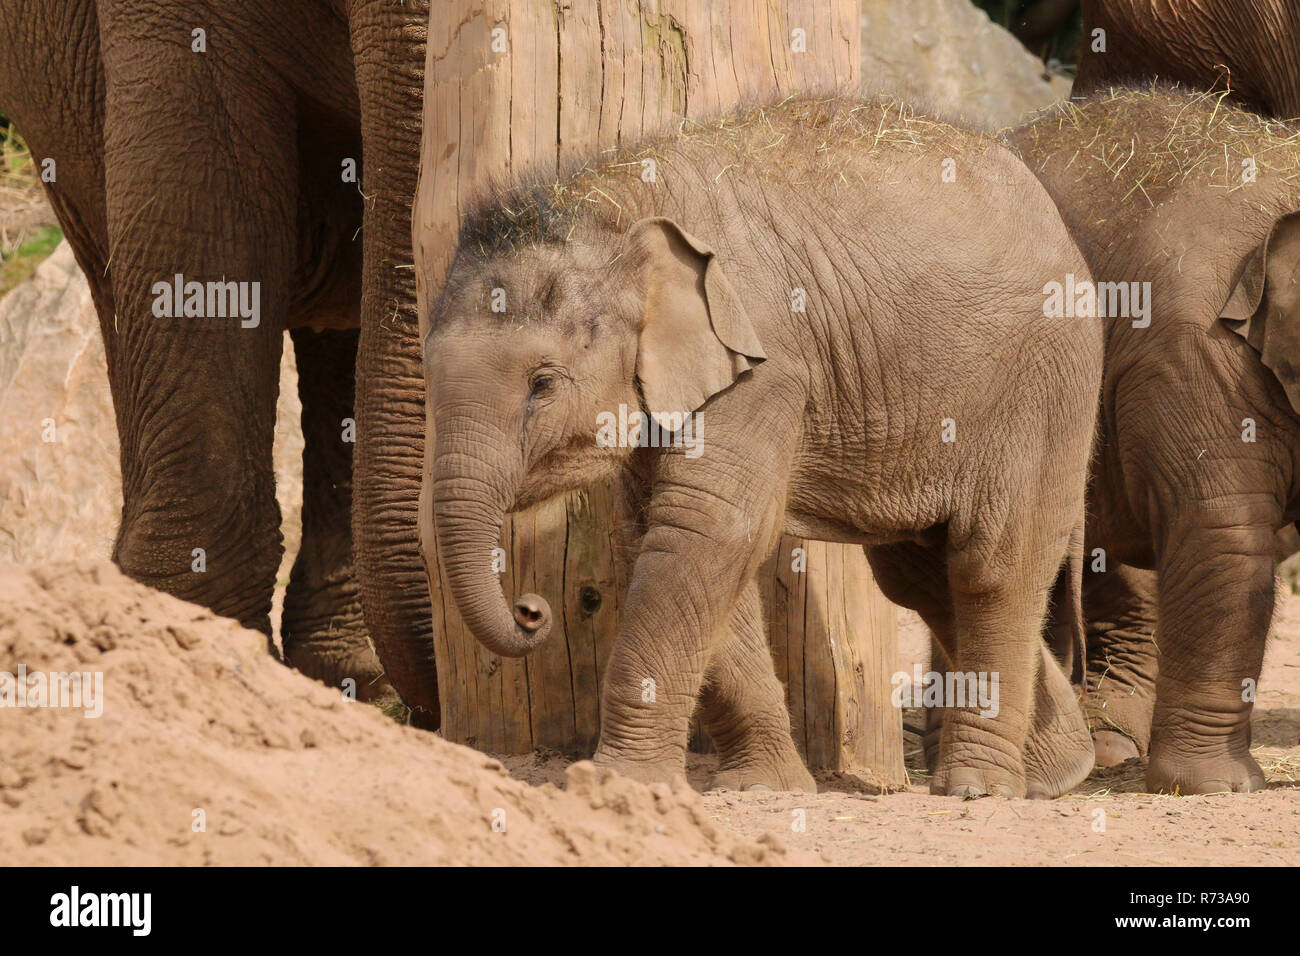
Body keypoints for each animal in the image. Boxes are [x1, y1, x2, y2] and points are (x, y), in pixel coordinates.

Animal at [424, 94, 1104, 799]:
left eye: (543, 384)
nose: (532, 611)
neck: (613, 201)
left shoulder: (766, 363)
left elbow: (706, 528)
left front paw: (618, 783)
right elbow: (672, 537)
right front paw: (762, 786)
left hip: (1044, 390)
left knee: (993, 564)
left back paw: (979, 787)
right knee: (922, 574)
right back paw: (1057, 771)